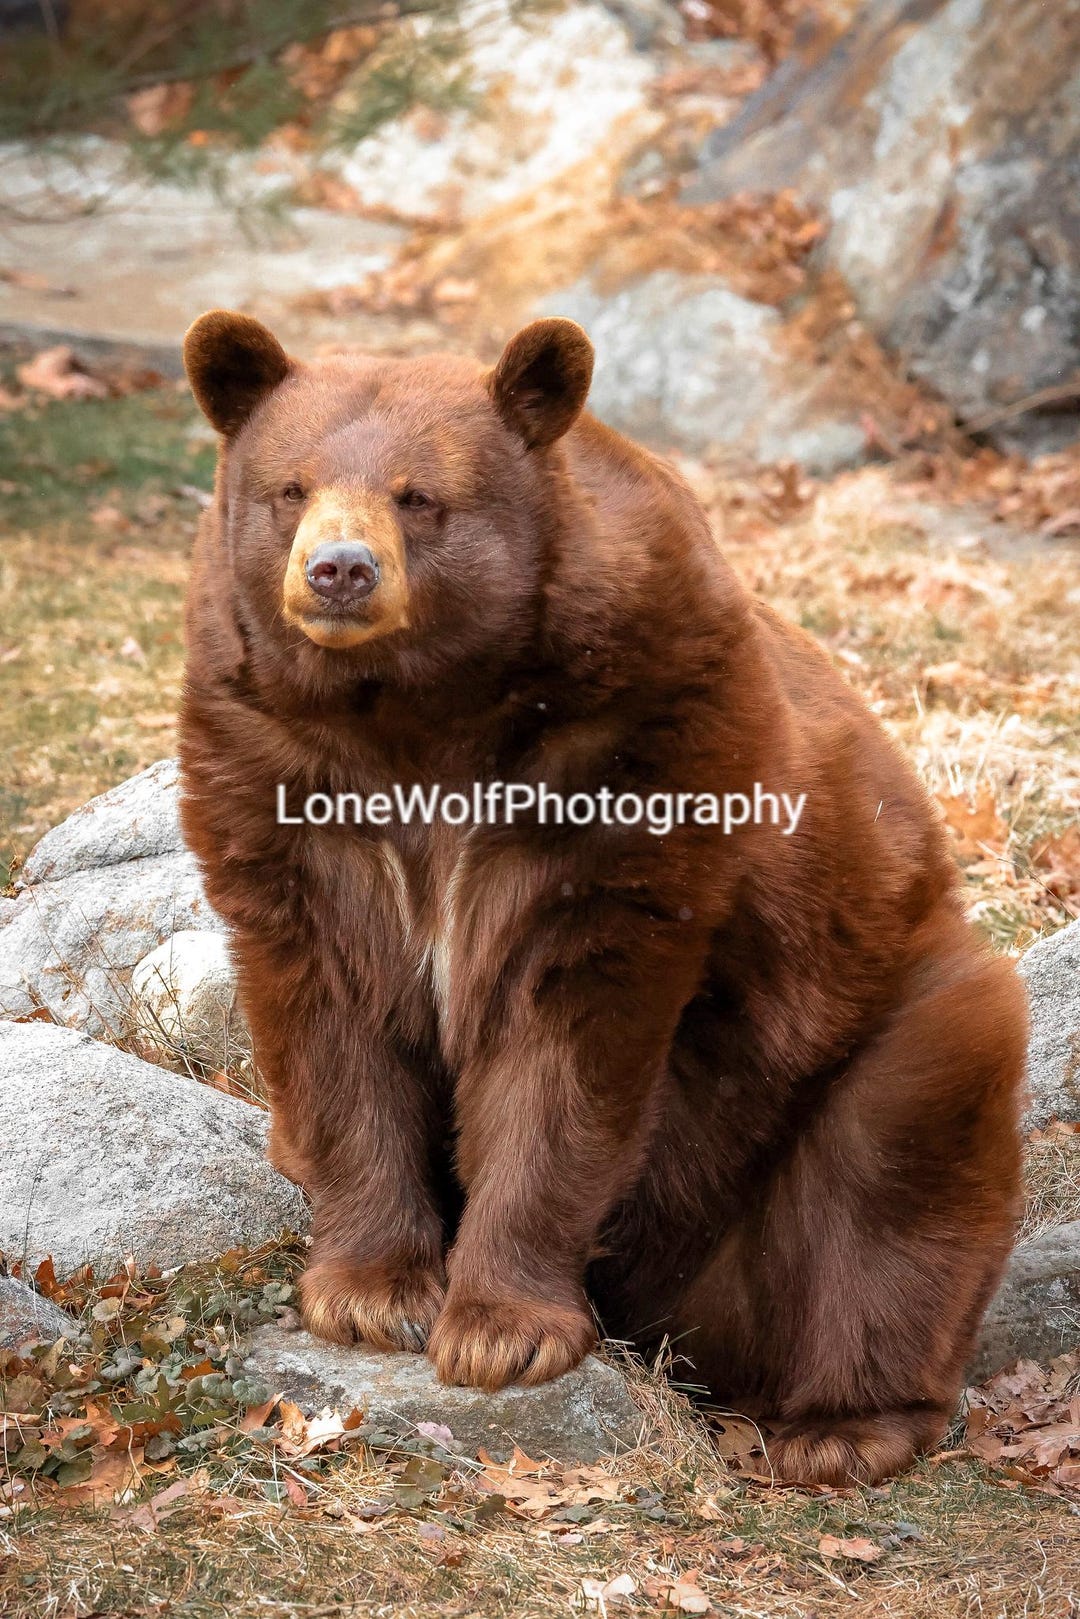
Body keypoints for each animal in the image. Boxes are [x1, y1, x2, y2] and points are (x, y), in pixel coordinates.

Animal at [179, 309, 1027, 1486]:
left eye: (419, 495)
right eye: (289, 487)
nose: (339, 570)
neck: (419, 710)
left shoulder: (632, 748)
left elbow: (564, 1035)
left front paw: (501, 1327)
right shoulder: (279, 773)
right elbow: (333, 1015)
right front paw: (372, 1294)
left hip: (885, 1010)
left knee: (892, 1183)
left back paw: (840, 1427)